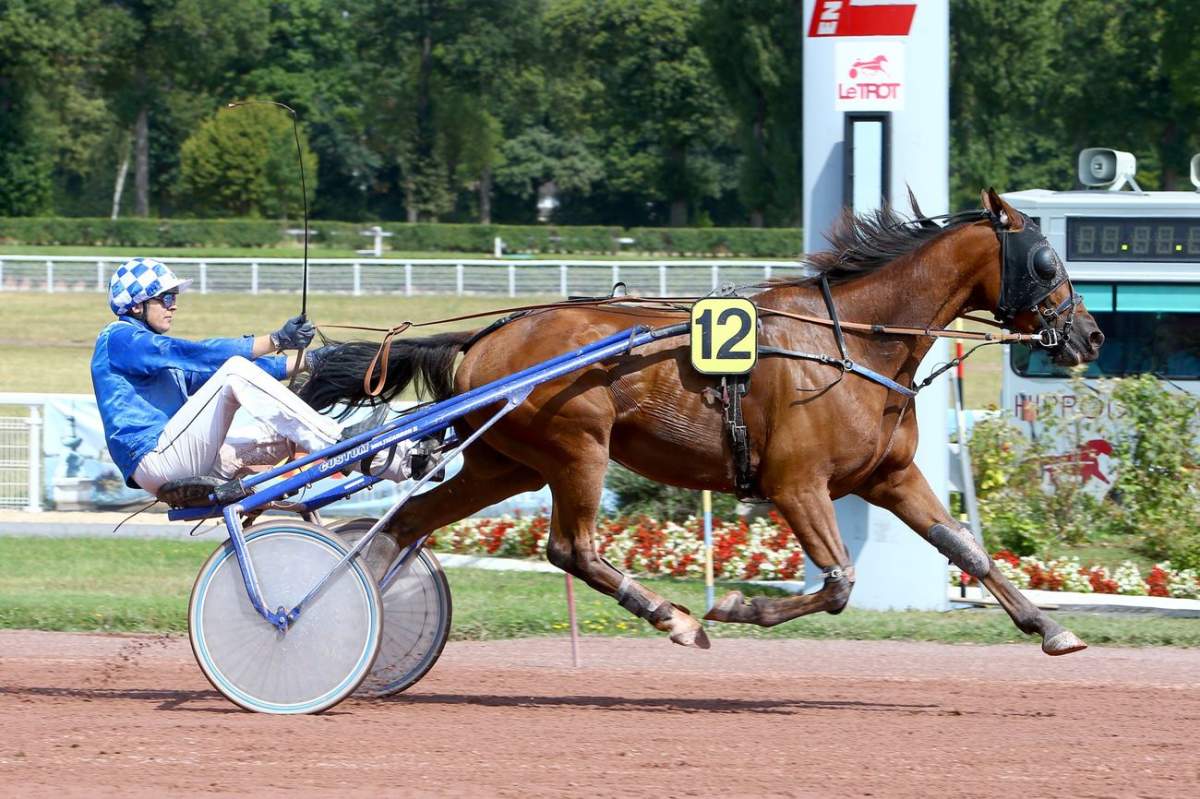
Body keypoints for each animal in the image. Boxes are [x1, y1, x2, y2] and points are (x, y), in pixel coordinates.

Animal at [300, 189, 1105, 655]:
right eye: (1045, 259)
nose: (1090, 335)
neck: (850, 342)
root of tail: (481, 341)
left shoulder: (889, 475)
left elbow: (966, 549)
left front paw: (1051, 627)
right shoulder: (795, 483)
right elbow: (840, 582)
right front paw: (740, 605)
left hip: (509, 462)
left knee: (409, 523)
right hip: (576, 449)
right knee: (571, 548)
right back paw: (676, 618)